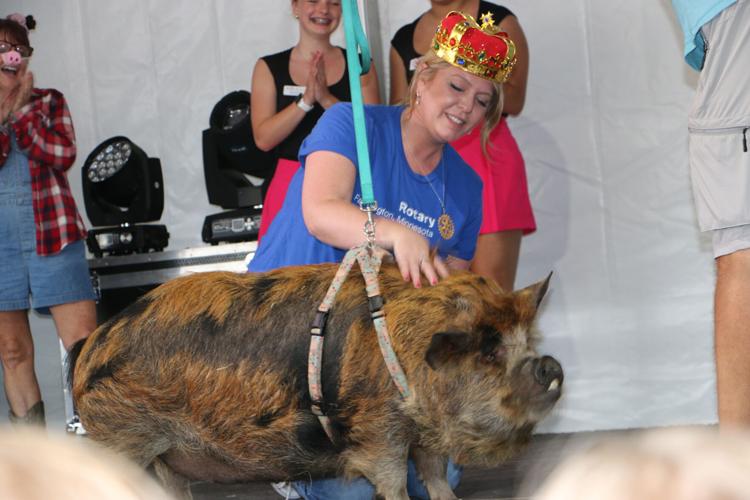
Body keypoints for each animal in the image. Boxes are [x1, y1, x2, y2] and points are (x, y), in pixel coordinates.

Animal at [69, 260, 563, 500]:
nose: (550, 366)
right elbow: (393, 483)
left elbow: (437, 479)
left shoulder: (422, 437)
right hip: (122, 437)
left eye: (527, 341)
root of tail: (91, 348)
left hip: (163, 460)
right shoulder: (377, 431)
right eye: (490, 351)